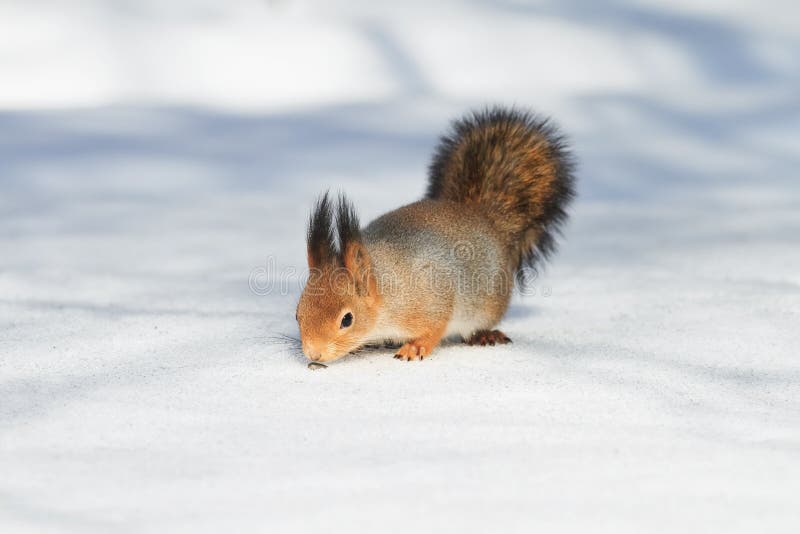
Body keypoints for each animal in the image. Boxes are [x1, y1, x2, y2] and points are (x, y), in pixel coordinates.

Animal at [295, 106, 575, 363]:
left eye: (347, 319)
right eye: (298, 312)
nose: (313, 354)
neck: (386, 292)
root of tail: (484, 217)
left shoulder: (431, 302)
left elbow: (435, 328)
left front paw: (415, 347)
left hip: (485, 305)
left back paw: (484, 334)